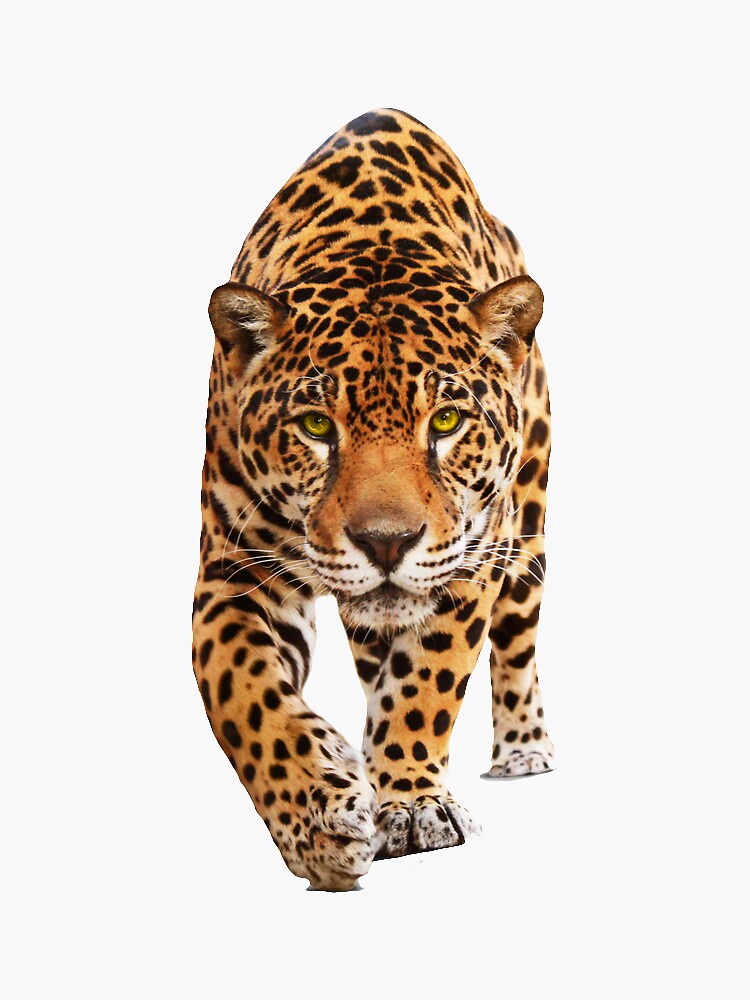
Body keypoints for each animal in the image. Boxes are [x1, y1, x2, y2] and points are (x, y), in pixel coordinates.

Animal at [193, 108, 555, 891]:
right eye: (315, 426)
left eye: (445, 422)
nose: (386, 542)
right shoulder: (233, 573)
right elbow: (243, 695)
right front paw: (318, 822)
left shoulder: (471, 556)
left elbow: (429, 681)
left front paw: (413, 803)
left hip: (530, 527)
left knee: (516, 642)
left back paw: (522, 748)